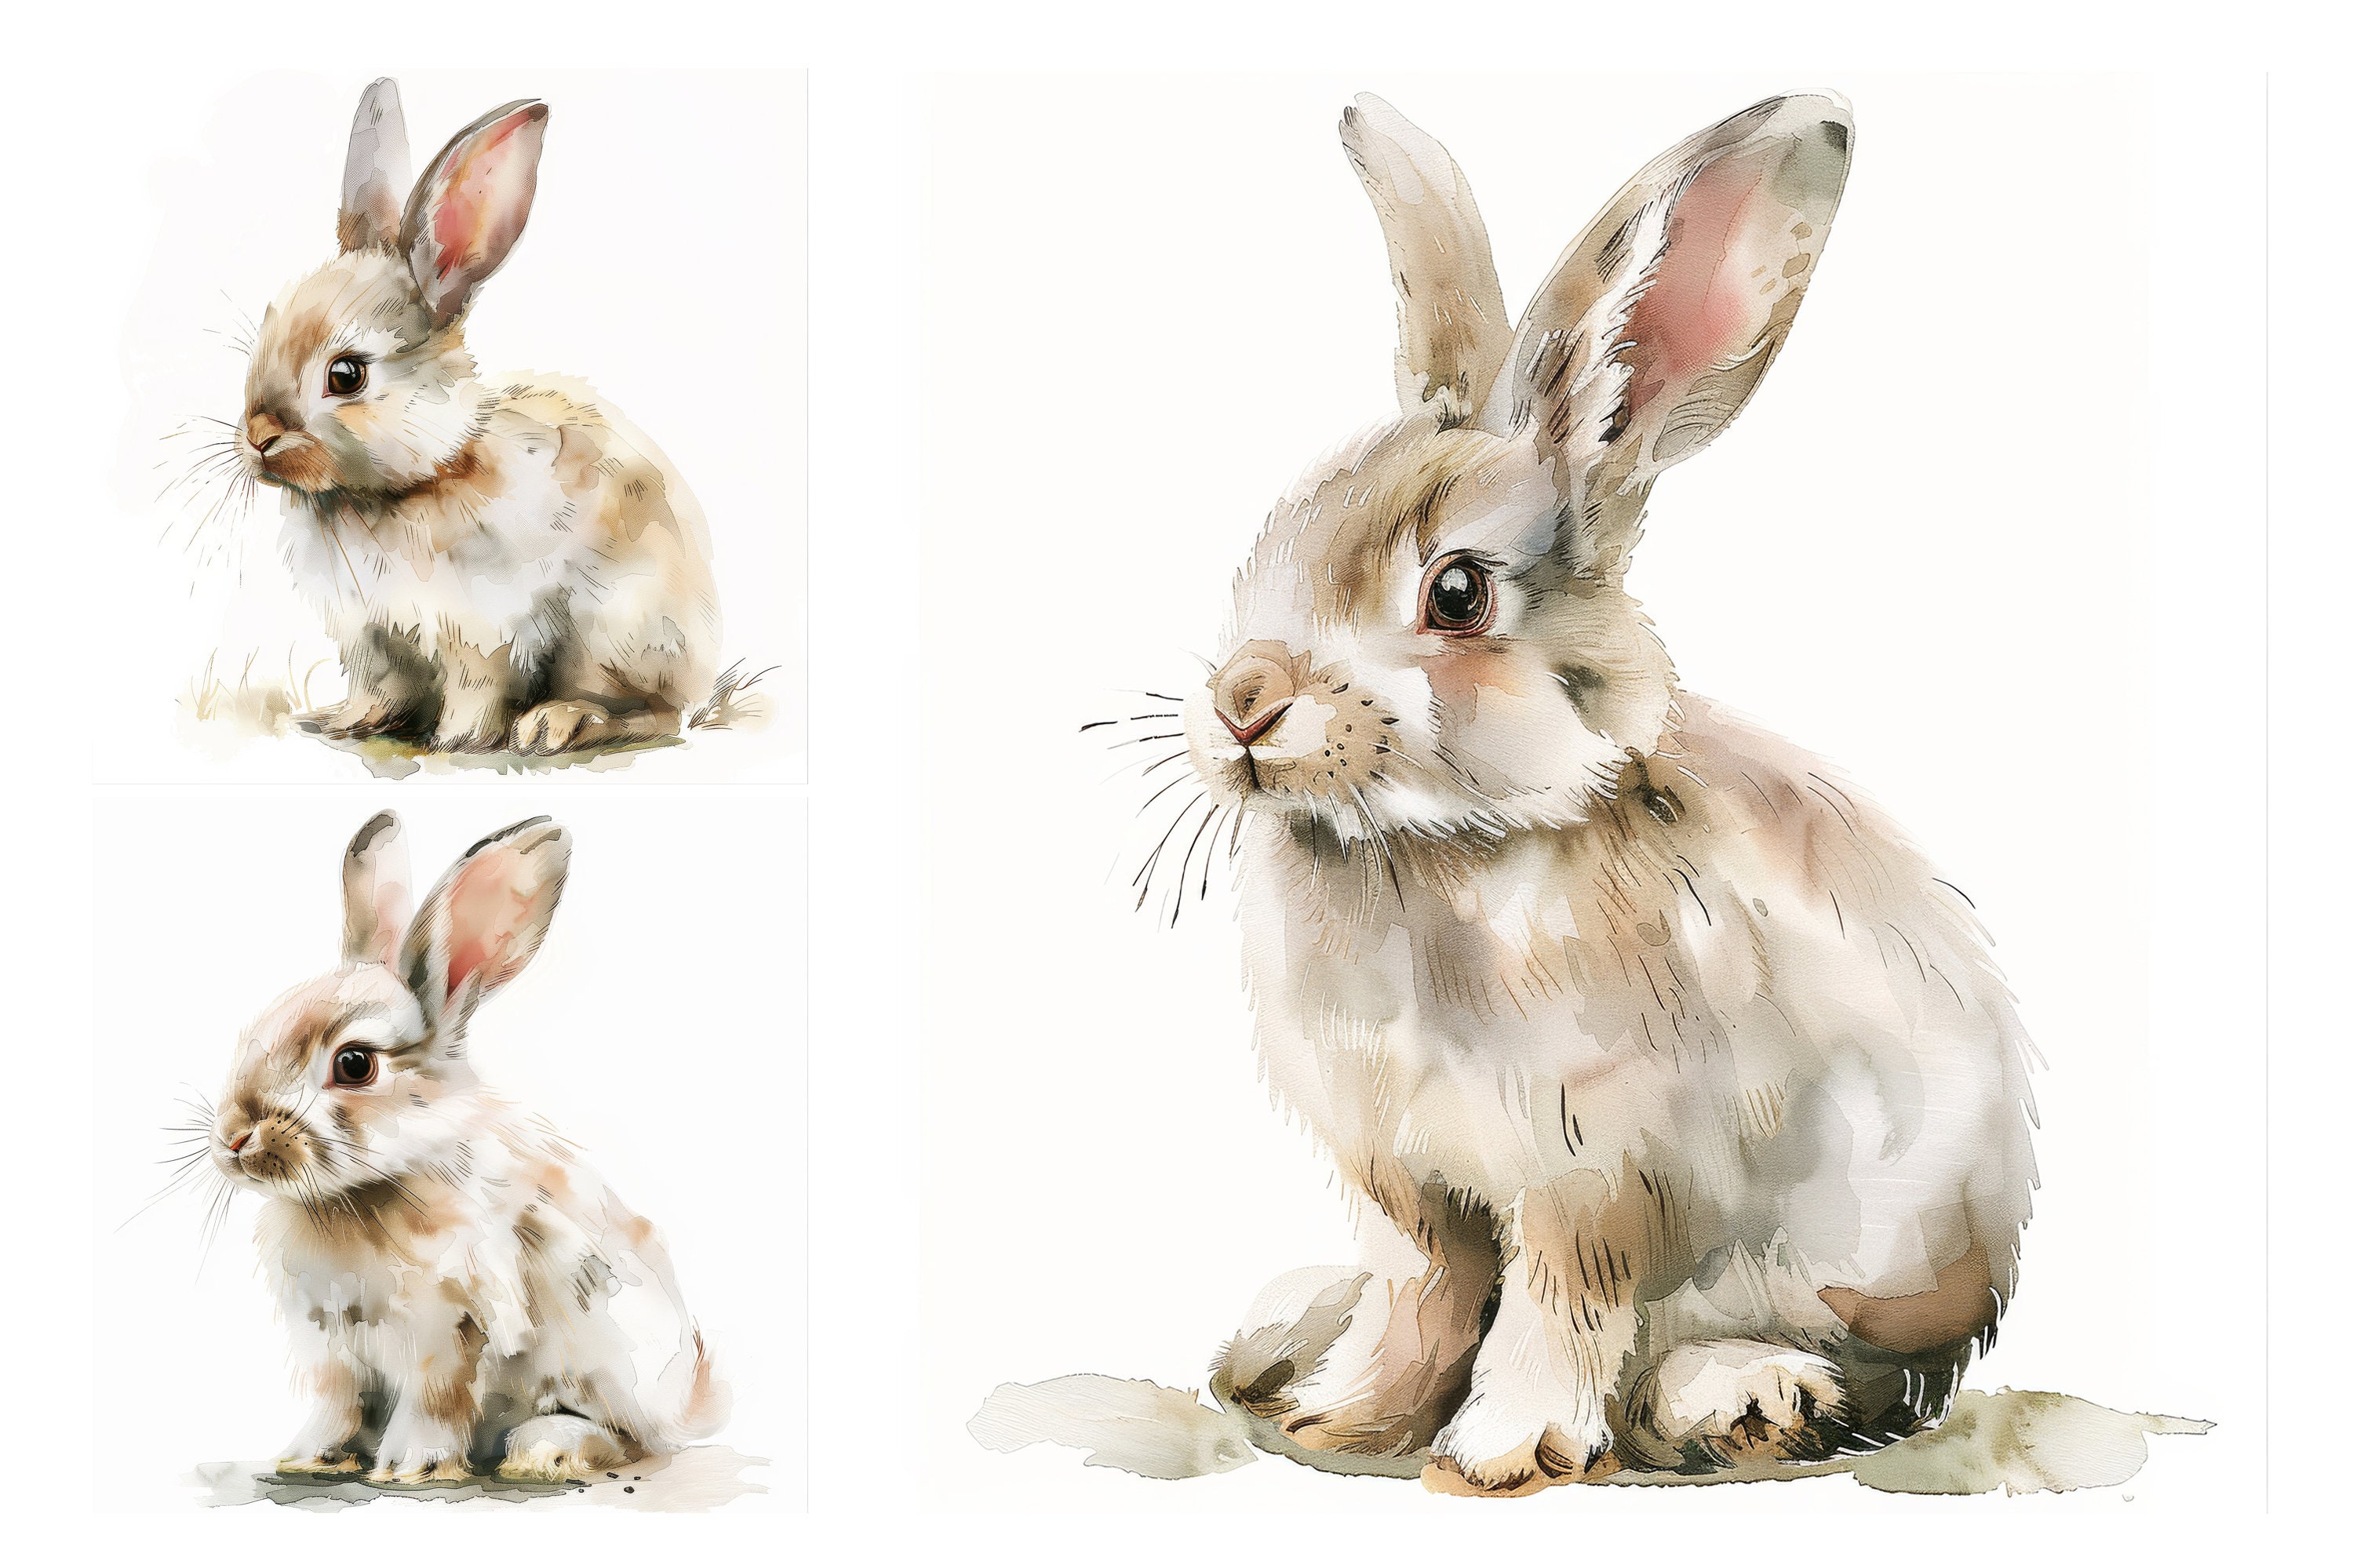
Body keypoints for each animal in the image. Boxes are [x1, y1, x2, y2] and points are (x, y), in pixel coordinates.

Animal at [206, 811, 727, 1483]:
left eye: (354, 1064)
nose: (233, 1136)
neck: (363, 1190)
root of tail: (691, 1400)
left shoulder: (450, 1330)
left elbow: (433, 1400)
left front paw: (412, 1467)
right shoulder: (334, 1348)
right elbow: (336, 1404)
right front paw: (308, 1457)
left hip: (611, 1360)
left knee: (631, 1439)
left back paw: (545, 1451)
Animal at [233, 78, 720, 755]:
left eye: (346, 375)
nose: (259, 436)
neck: (406, 484)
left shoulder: (482, 632)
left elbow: (476, 688)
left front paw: (456, 740)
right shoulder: (371, 637)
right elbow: (378, 686)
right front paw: (343, 720)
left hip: (615, 634)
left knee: (657, 713)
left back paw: (558, 722)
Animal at [1157, 94, 2039, 1494]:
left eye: (1456, 591)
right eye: (1274, 538)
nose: (1243, 698)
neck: (1435, 844)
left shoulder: (1598, 1173)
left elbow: (1554, 1303)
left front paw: (1497, 1452)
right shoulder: (1404, 1184)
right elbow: (1418, 1296)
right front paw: (1345, 1417)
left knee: (1872, 1369)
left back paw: (1734, 1396)